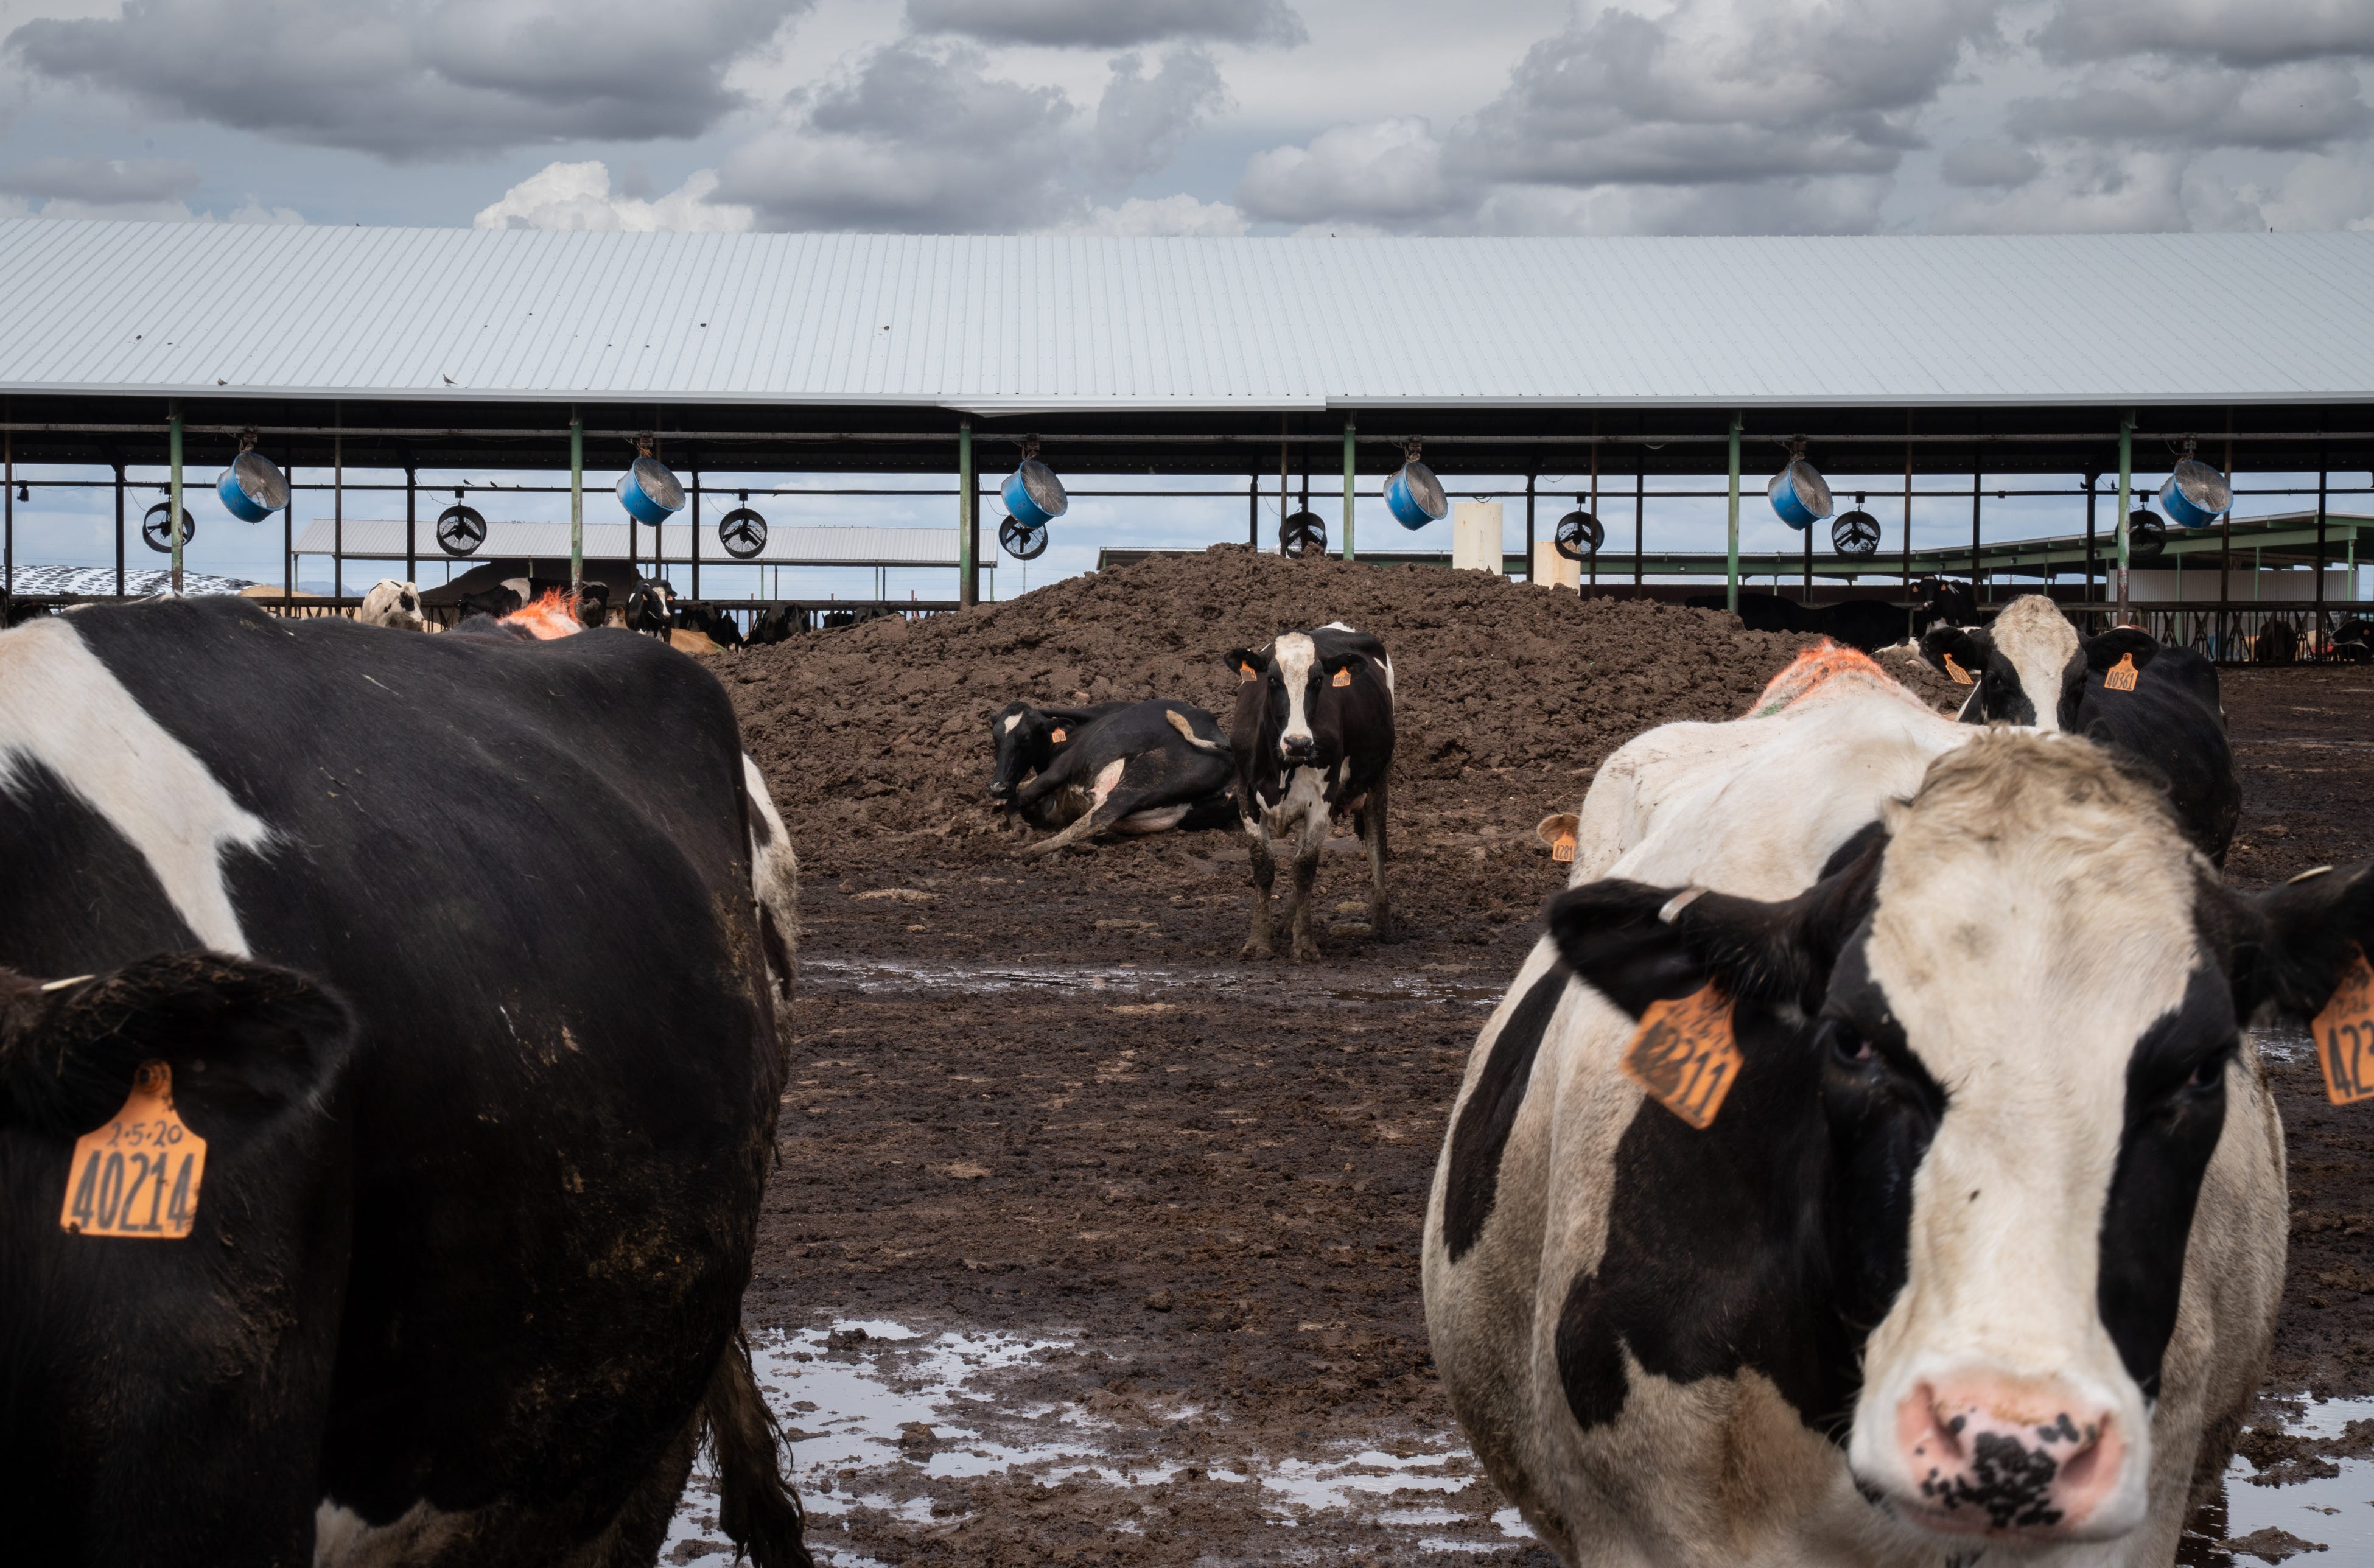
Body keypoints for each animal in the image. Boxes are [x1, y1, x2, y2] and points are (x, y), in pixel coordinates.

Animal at [1003, 699, 1238, 856]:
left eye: (1025, 739)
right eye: (998, 739)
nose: (998, 786)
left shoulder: (1060, 768)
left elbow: (1018, 799)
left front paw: (1018, 828)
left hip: (1140, 780)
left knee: (1097, 820)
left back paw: (1028, 851)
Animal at [1226, 624, 1394, 961]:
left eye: (1317, 680)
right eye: (1272, 679)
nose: (1299, 742)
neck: (1280, 765)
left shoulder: (1322, 797)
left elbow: (1305, 866)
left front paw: (1304, 943)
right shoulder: (1245, 792)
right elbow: (1264, 866)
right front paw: (1259, 941)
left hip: (1377, 778)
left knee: (1375, 844)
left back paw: (1381, 926)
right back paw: (1285, 924)